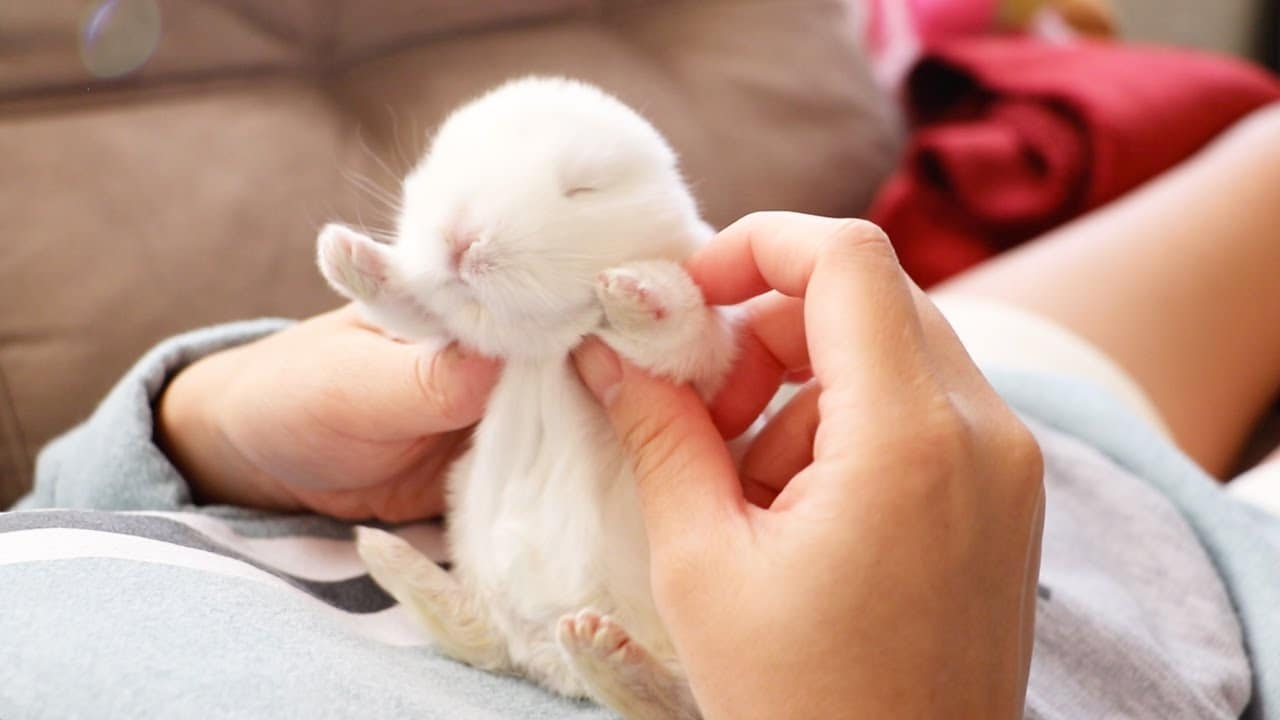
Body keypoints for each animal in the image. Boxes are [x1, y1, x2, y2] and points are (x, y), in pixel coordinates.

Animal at [316, 77, 736, 720]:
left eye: (582, 190)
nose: (460, 238)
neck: (543, 346)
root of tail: (544, 659)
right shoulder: (447, 330)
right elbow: (412, 309)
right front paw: (347, 254)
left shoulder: (708, 359)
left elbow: (685, 328)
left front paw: (631, 291)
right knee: (477, 636)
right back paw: (387, 556)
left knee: (674, 701)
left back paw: (604, 651)